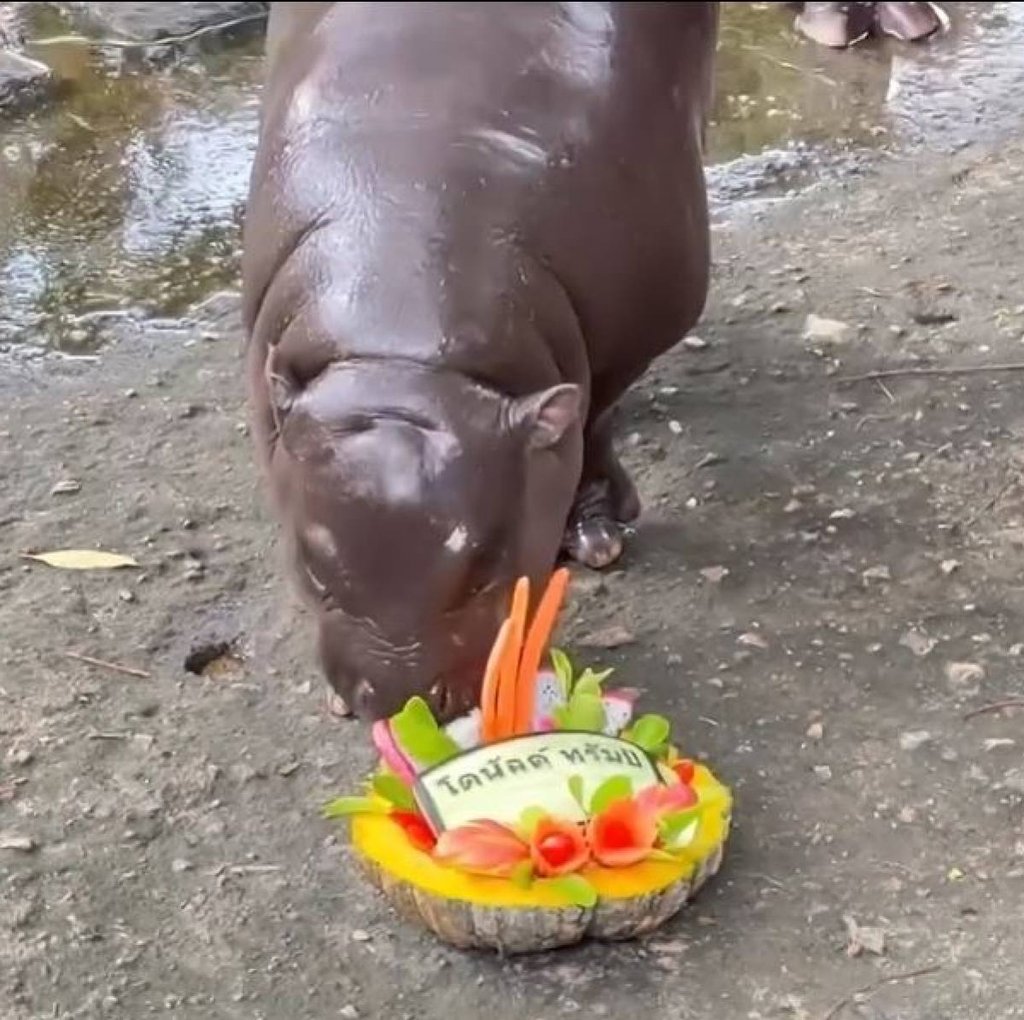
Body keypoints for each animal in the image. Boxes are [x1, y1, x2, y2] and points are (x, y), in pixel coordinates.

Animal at [242, 2, 719, 722]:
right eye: (311, 561)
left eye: (485, 564)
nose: (398, 701)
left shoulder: (631, 340)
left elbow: (594, 420)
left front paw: (598, 538)